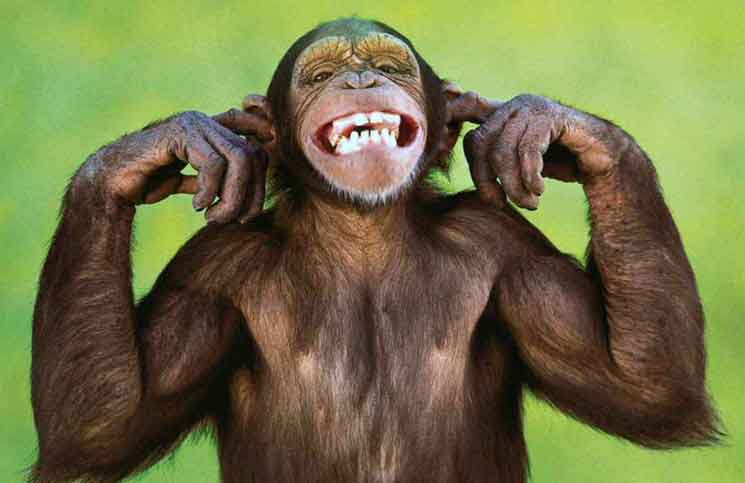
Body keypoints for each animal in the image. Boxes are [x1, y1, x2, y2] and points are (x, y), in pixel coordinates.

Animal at [31, 17, 720, 483]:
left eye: (390, 68)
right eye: (320, 75)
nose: (359, 78)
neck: (361, 234)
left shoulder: (507, 249)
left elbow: (641, 387)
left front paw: (540, 123)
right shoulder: (208, 275)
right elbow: (102, 423)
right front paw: (161, 148)